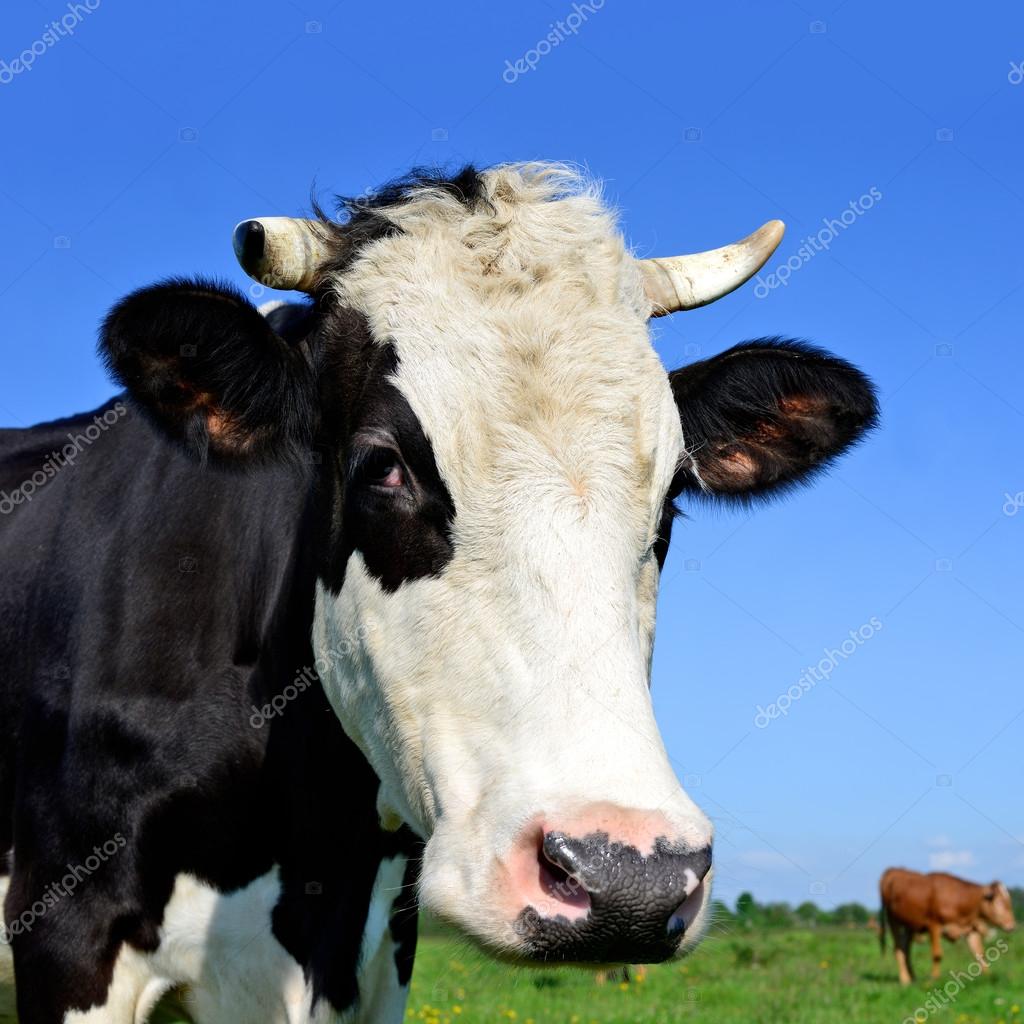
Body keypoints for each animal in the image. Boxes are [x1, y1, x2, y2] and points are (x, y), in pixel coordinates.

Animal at [880, 866, 1016, 984]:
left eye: (1009, 901)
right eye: (999, 902)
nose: (1012, 925)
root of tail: (892, 870)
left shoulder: (970, 929)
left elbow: (979, 953)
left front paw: (988, 977)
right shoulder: (934, 925)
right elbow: (937, 954)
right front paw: (933, 979)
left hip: (910, 925)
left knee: (905, 949)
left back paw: (912, 978)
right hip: (893, 920)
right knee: (898, 948)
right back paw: (905, 980)